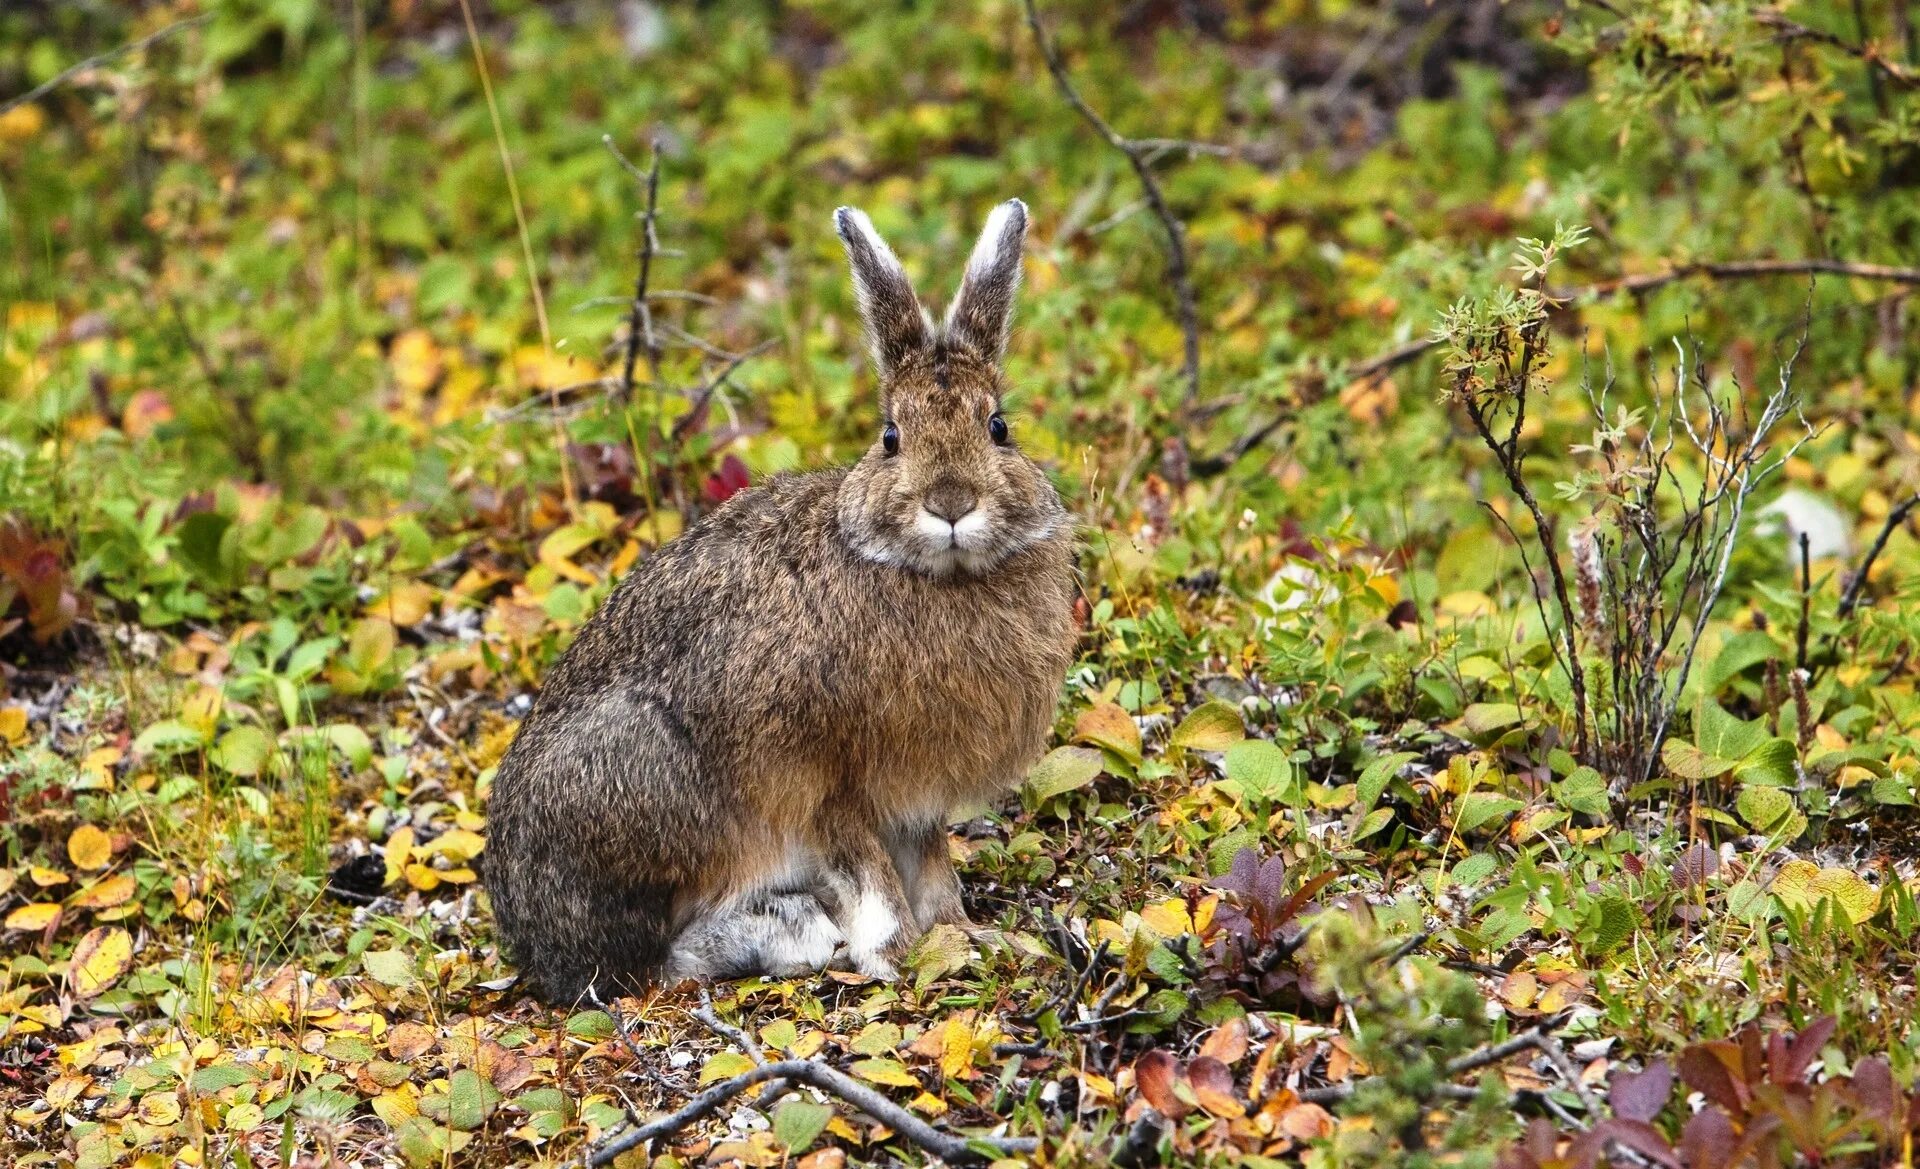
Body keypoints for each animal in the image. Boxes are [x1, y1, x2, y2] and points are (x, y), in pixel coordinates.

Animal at [484, 199, 1079, 1002]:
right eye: (891, 435)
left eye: (999, 427)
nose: (950, 501)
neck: (932, 575)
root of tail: (525, 932)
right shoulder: (828, 783)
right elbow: (874, 881)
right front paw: (901, 956)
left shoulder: (916, 803)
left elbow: (932, 873)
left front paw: (968, 937)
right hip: (646, 776)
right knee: (643, 965)